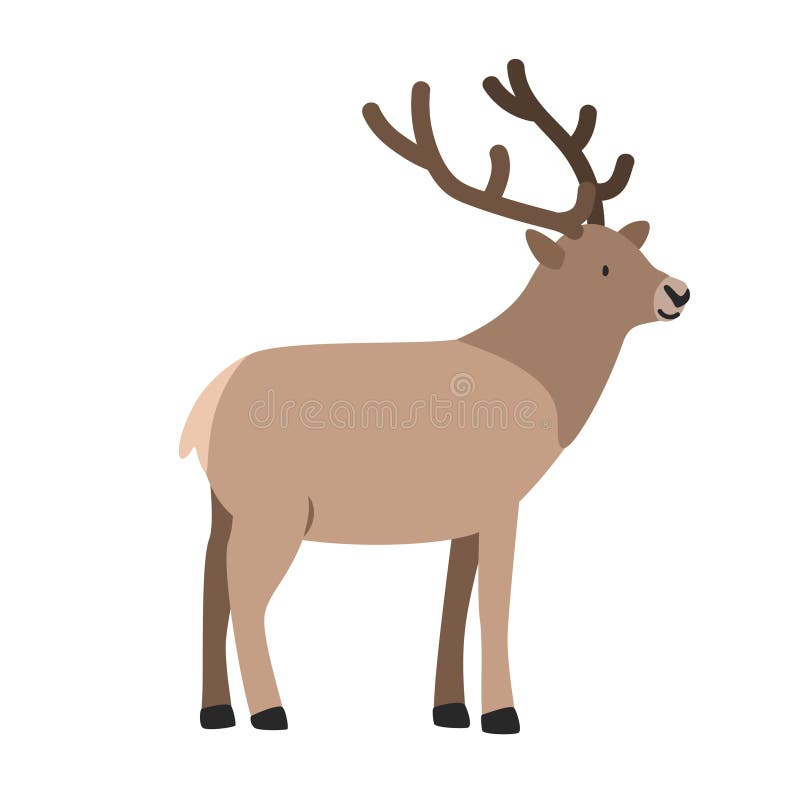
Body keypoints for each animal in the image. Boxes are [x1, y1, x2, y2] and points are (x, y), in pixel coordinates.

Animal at [180, 59, 690, 735]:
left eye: (637, 248)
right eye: (602, 268)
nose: (678, 291)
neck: (543, 381)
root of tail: (201, 411)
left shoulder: (463, 511)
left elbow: (456, 595)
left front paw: (449, 709)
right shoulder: (503, 498)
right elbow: (494, 602)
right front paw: (504, 715)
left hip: (225, 503)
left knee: (210, 582)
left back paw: (215, 712)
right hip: (277, 508)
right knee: (245, 591)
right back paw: (271, 711)